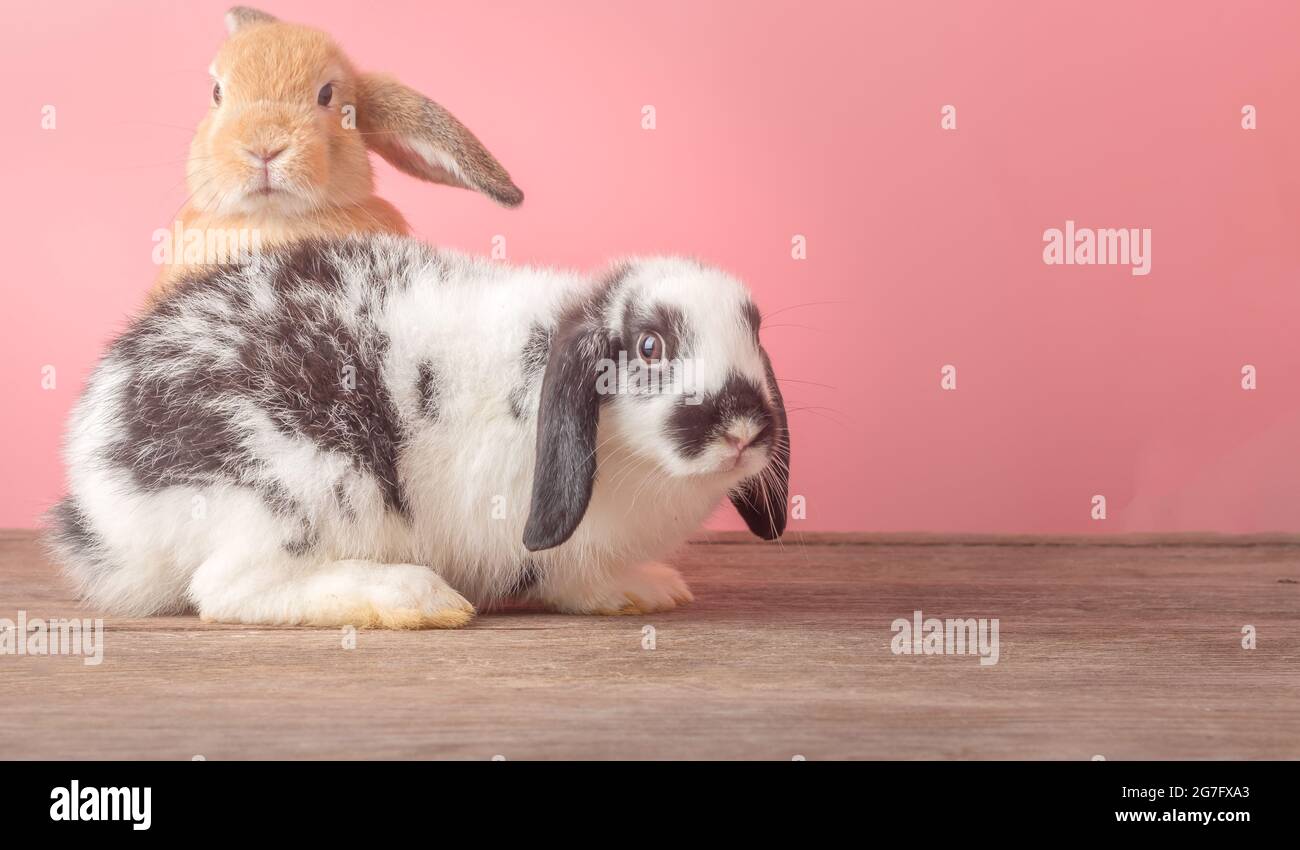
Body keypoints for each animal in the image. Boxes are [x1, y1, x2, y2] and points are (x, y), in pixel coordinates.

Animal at [49, 234, 790, 628]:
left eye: (756, 330)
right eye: (648, 347)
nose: (742, 427)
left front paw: (647, 588)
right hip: (301, 482)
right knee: (229, 588)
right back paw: (412, 598)